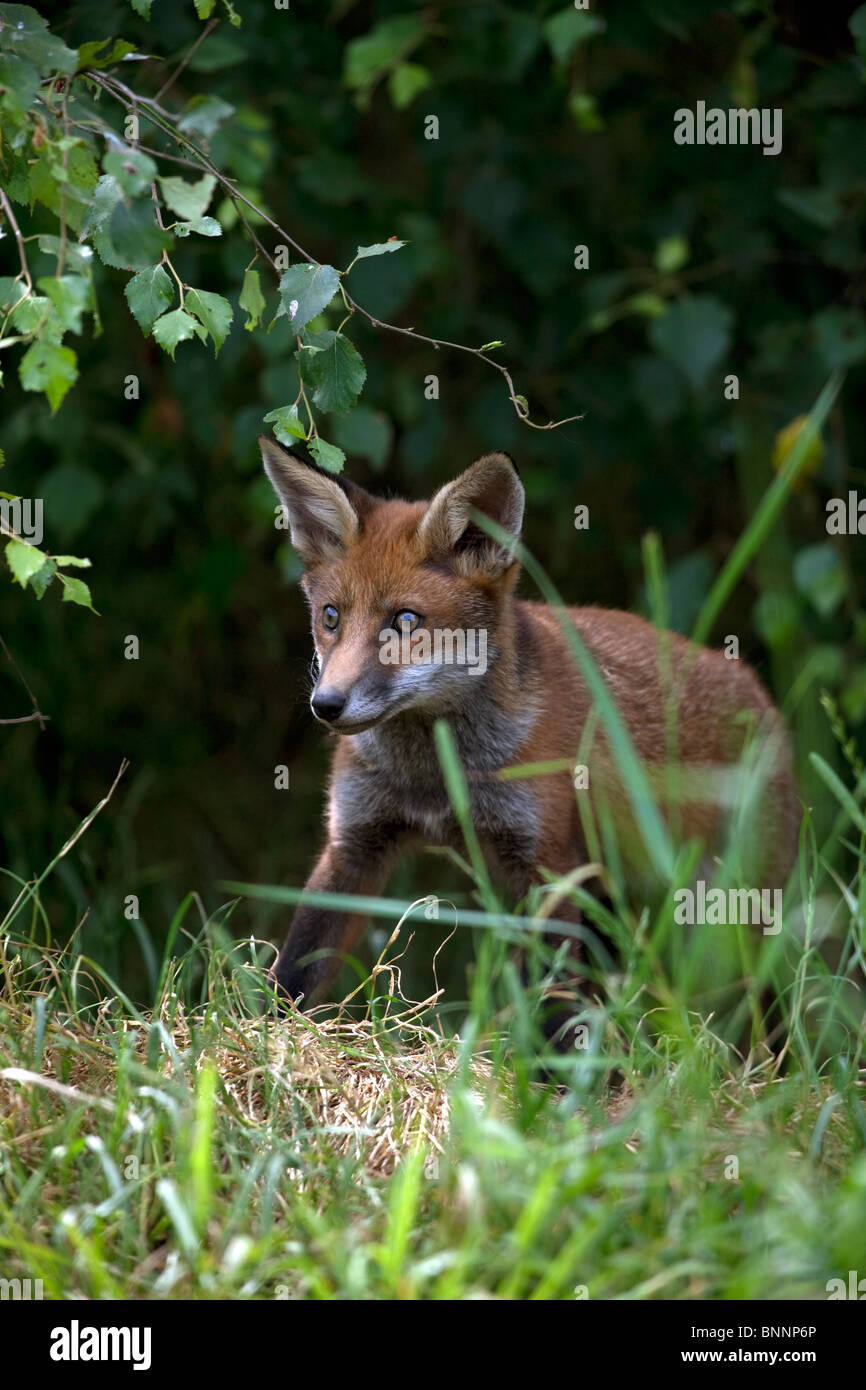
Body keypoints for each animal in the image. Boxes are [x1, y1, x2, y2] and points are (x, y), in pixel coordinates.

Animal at [259, 436, 800, 1018]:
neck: (434, 776)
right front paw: (264, 1029)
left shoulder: (547, 865)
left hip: (727, 920)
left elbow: (553, 1008)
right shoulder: (355, 844)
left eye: (405, 622)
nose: (326, 705)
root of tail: (760, 692)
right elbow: (295, 968)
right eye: (331, 617)